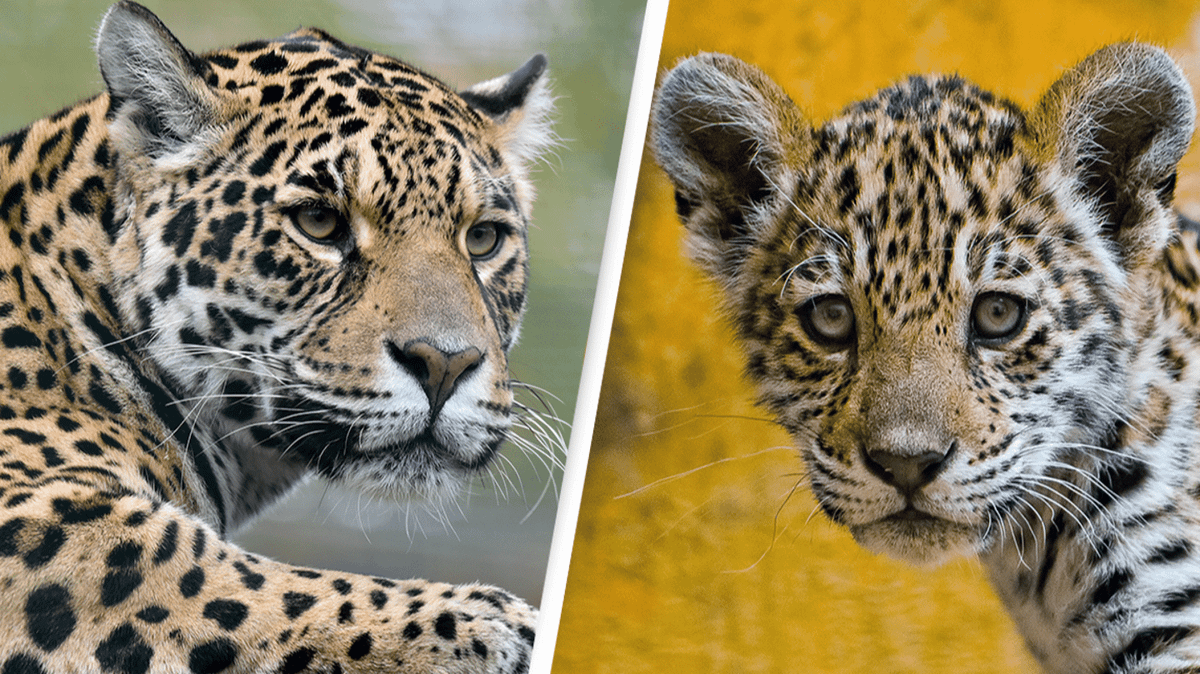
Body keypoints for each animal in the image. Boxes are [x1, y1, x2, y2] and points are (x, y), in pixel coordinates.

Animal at [0, 1, 557, 672]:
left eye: (483, 239)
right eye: (318, 222)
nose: (445, 365)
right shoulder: (41, 515)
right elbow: (224, 577)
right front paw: (498, 625)